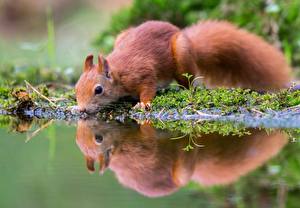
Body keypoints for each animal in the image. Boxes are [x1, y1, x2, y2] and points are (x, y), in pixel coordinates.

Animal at [74, 20, 290, 113]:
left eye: (98, 90)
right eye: (76, 88)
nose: (83, 109)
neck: (118, 74)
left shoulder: (143, 73)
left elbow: (148, 88)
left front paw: (144, 103)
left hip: (182, 55)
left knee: (188, 82)